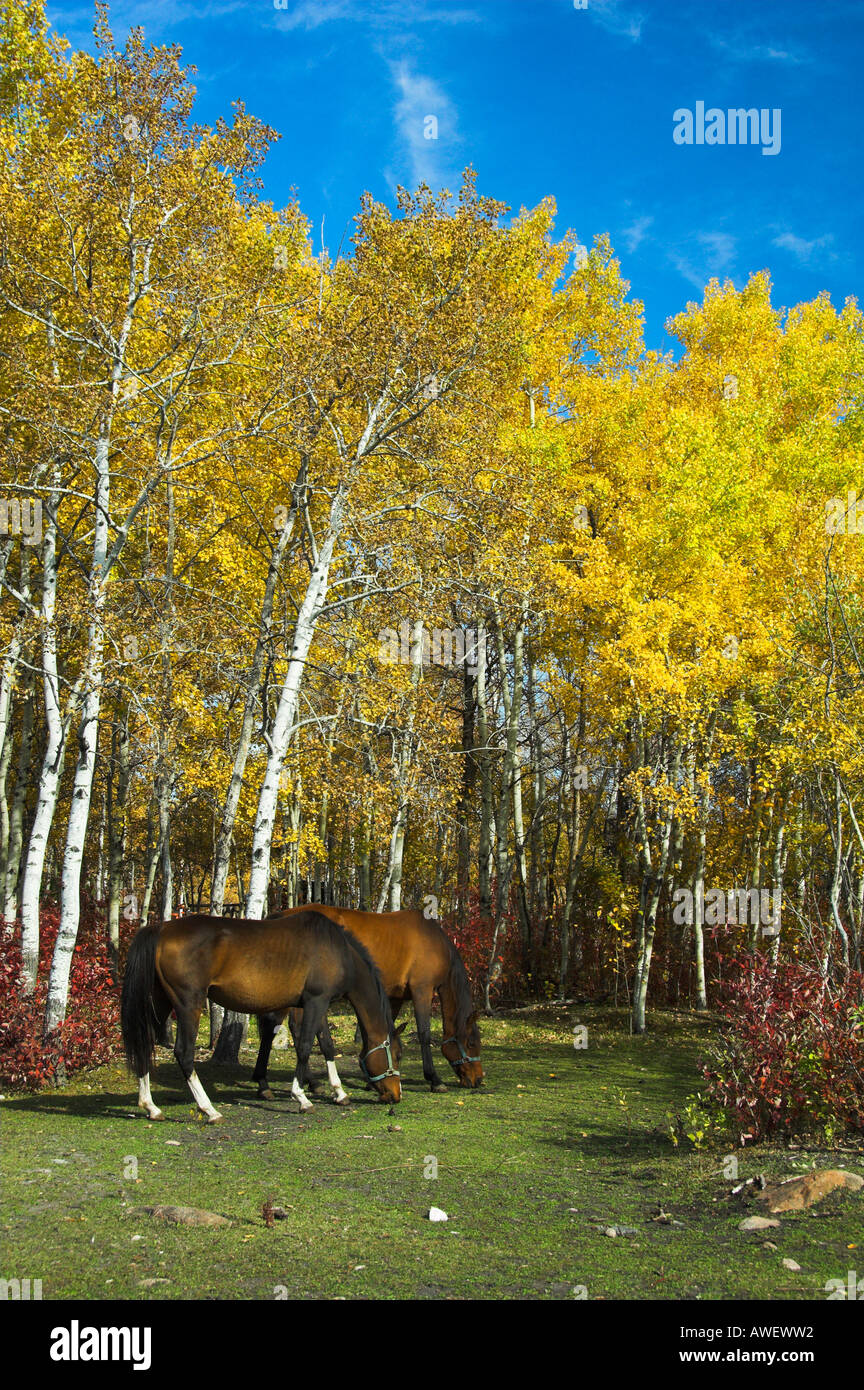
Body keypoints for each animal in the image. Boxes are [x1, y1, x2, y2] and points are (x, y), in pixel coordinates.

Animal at [120, 909, 404, 1122]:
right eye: (398, 1055)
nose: (395, 1095)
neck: (338, 950)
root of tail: (161, 929)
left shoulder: (316, 1004)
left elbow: (326, 1045)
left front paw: (339, 1092)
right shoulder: (315, 1001)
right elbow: (304, 1047)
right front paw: (301, 1097)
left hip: (159, 1002)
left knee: (145, 1045)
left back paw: (150, 1106)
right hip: (188, 1003)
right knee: (184, 1053)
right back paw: (209, 1110)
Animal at [264, 906, 483, 1093]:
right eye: (472, 1043)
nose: (479, 1079)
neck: (433, 942)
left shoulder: (395, 997)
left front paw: (371, 1077)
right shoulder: (422, 990)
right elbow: (424, 1034)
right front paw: (434, 1079)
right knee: (297, 1029)